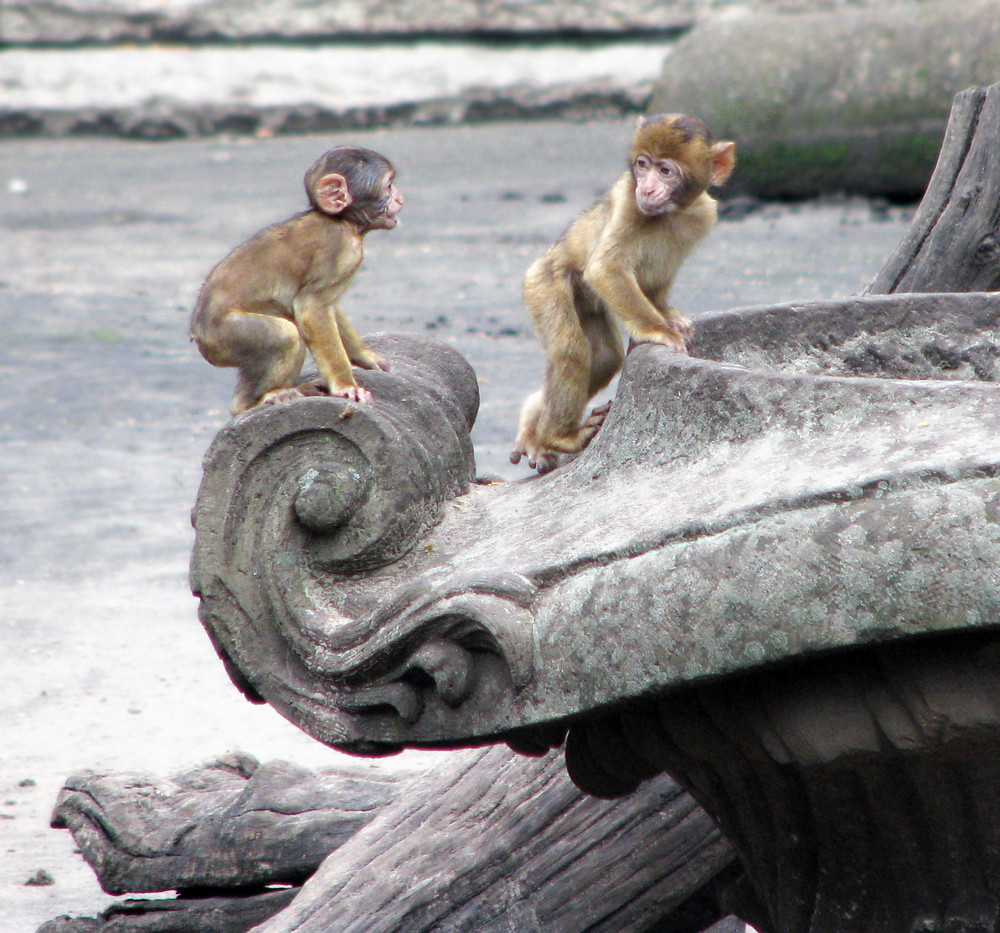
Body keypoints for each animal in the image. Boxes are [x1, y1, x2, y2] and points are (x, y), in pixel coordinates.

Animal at [190, 145, 404, 415]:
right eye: (389, 186)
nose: (400, 199)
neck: (342, 220)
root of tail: (198, 334)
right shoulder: (341, 249)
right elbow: (312, 307)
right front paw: (346, 386)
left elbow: (330, 307)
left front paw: (365, 357)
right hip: (226, 335)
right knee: (287, 336)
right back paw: (254, 402)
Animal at [510, 114, 735, 473]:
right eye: (642, 165)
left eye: (666, 171)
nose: (647, 187)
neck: (670, 213)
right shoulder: (629, 204)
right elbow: (606, 270)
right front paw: (660, 330)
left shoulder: (702, 214)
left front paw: (666, 312)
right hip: (541, 282)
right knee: (572, 350)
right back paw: (559, 436)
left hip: (586, 302)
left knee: (604, 356)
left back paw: (535, 425)